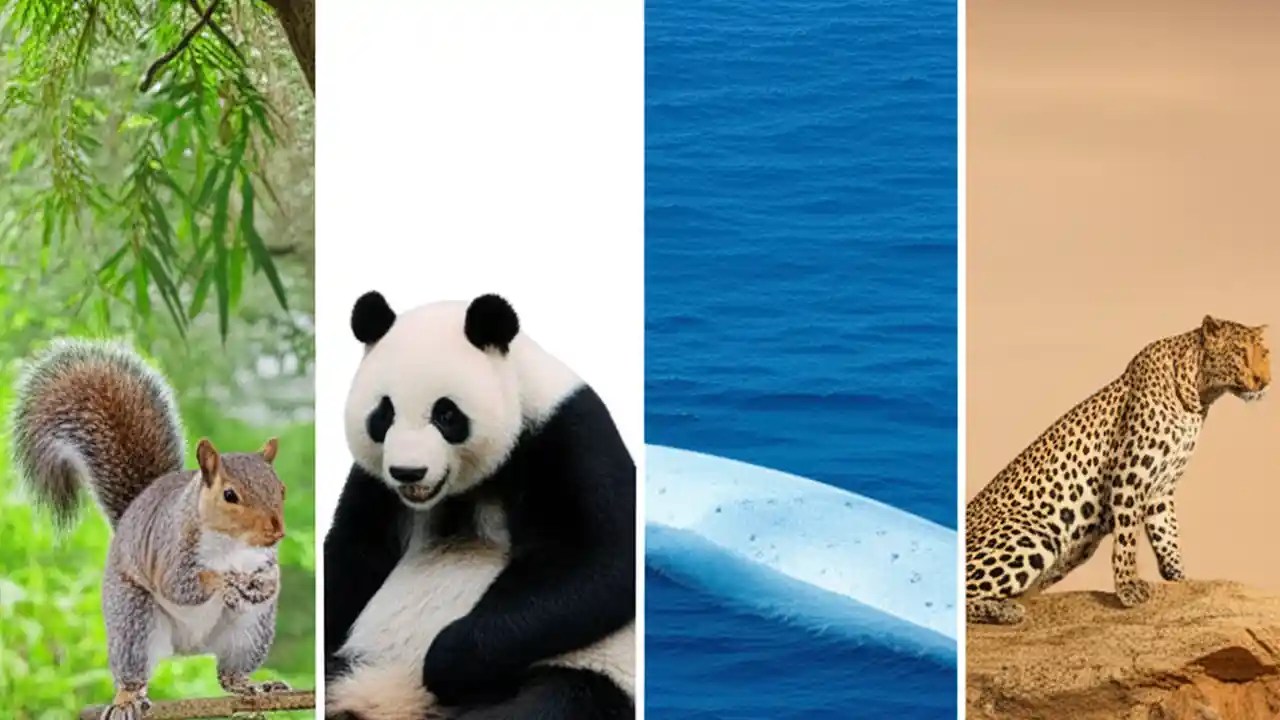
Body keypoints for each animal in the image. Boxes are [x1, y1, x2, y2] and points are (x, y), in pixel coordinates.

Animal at [10, 339, 291, 720]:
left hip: (249, 633)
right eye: (230, 495)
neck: (231, 545)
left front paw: (265, 584)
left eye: (281, 489)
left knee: (229, 673)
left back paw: (252, 686)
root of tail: (190, 647)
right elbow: (183, 586)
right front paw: (225, 583)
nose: (276, 532)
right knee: (134, 671)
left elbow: (265, 579)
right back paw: (127, 699)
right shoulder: (171, 551)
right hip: (134, 621)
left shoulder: (262, 559)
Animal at [324, 292, 636, 720]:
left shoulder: (567, 432)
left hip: (593, 672)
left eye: (446, 413)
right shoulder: (376, 485)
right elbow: (354, 554)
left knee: (554, 701)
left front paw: (444, 664)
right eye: (384, 413)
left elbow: (600, 561)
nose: (408, 472)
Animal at [966, 315, 1270, 625]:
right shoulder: (1129, 479)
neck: (1197, 397)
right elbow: (1127, 540)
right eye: (1240, 353)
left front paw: (1180, 579)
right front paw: (1128, 588)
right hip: (1036, 532)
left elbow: (1168, 536)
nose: (1265, 381)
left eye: (1265, 354)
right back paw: (1005, 610)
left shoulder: (1161, 489)